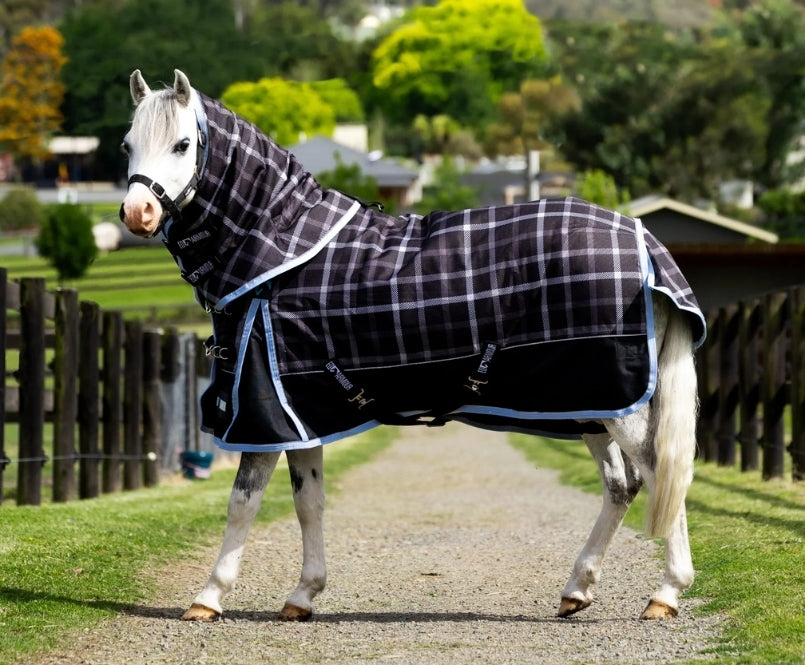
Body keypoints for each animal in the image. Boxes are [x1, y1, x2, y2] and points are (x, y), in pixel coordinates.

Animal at [120, 69, 705, 623]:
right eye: (127, 145)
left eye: (182, 144)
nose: (136, 213)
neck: (282, 252)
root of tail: (643, 241)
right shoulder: (299, 411)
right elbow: (309, 503)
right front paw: (303, 595)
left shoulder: (264, 411)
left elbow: (243, 502)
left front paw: (209, 597)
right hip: (591, 402)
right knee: (622, 485)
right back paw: (576, 590)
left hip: (619, 403)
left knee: (661, 474)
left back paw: (666, 593)